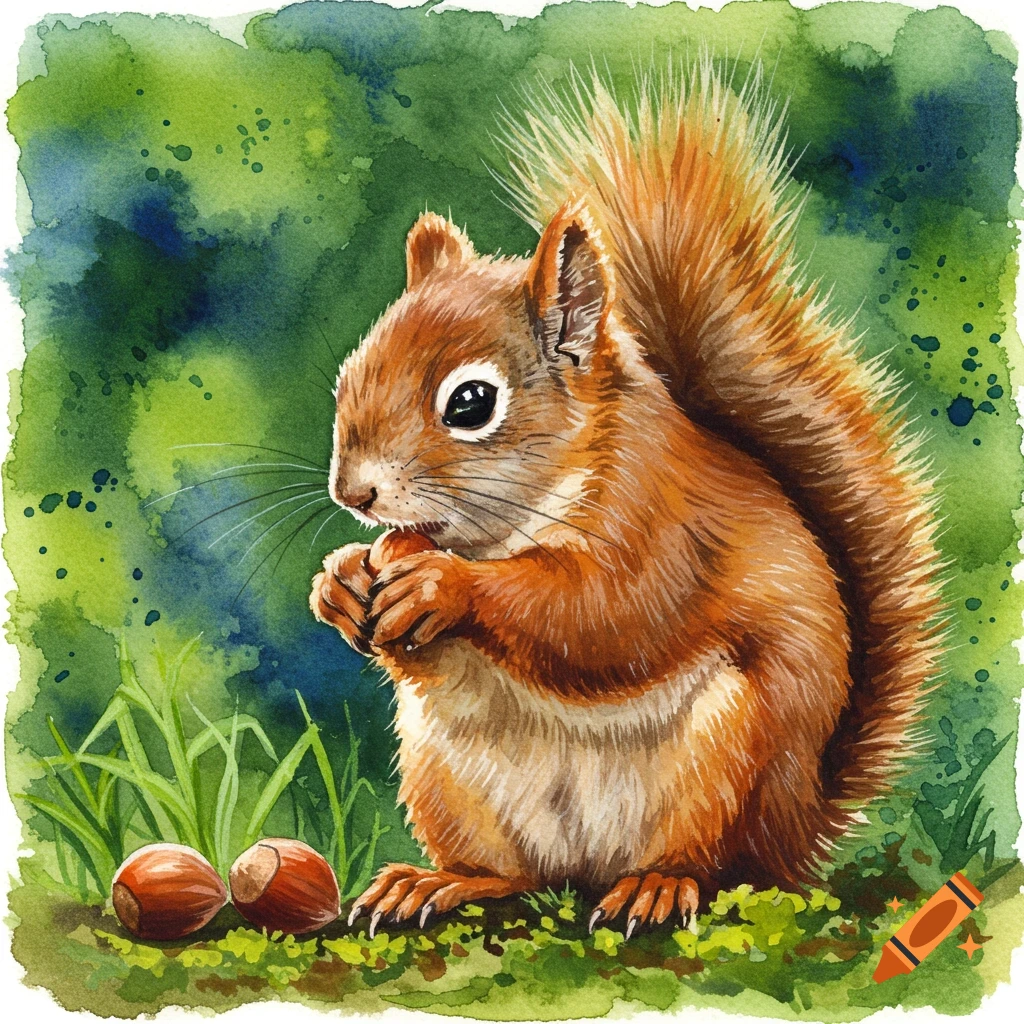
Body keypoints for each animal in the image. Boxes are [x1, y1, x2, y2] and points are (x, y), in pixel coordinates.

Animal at [310, 60, 945, 938]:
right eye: (347, 376)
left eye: (470, 403)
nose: (354, 491)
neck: (505, 528)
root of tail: (800, 825)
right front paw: (340, 581)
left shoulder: (664, 522)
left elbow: (607, 616)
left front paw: (445, 585)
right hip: (447, 778)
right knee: (513, 872)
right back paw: (444, 883)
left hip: (729, 757)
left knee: (711, 860)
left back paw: (658, 885)